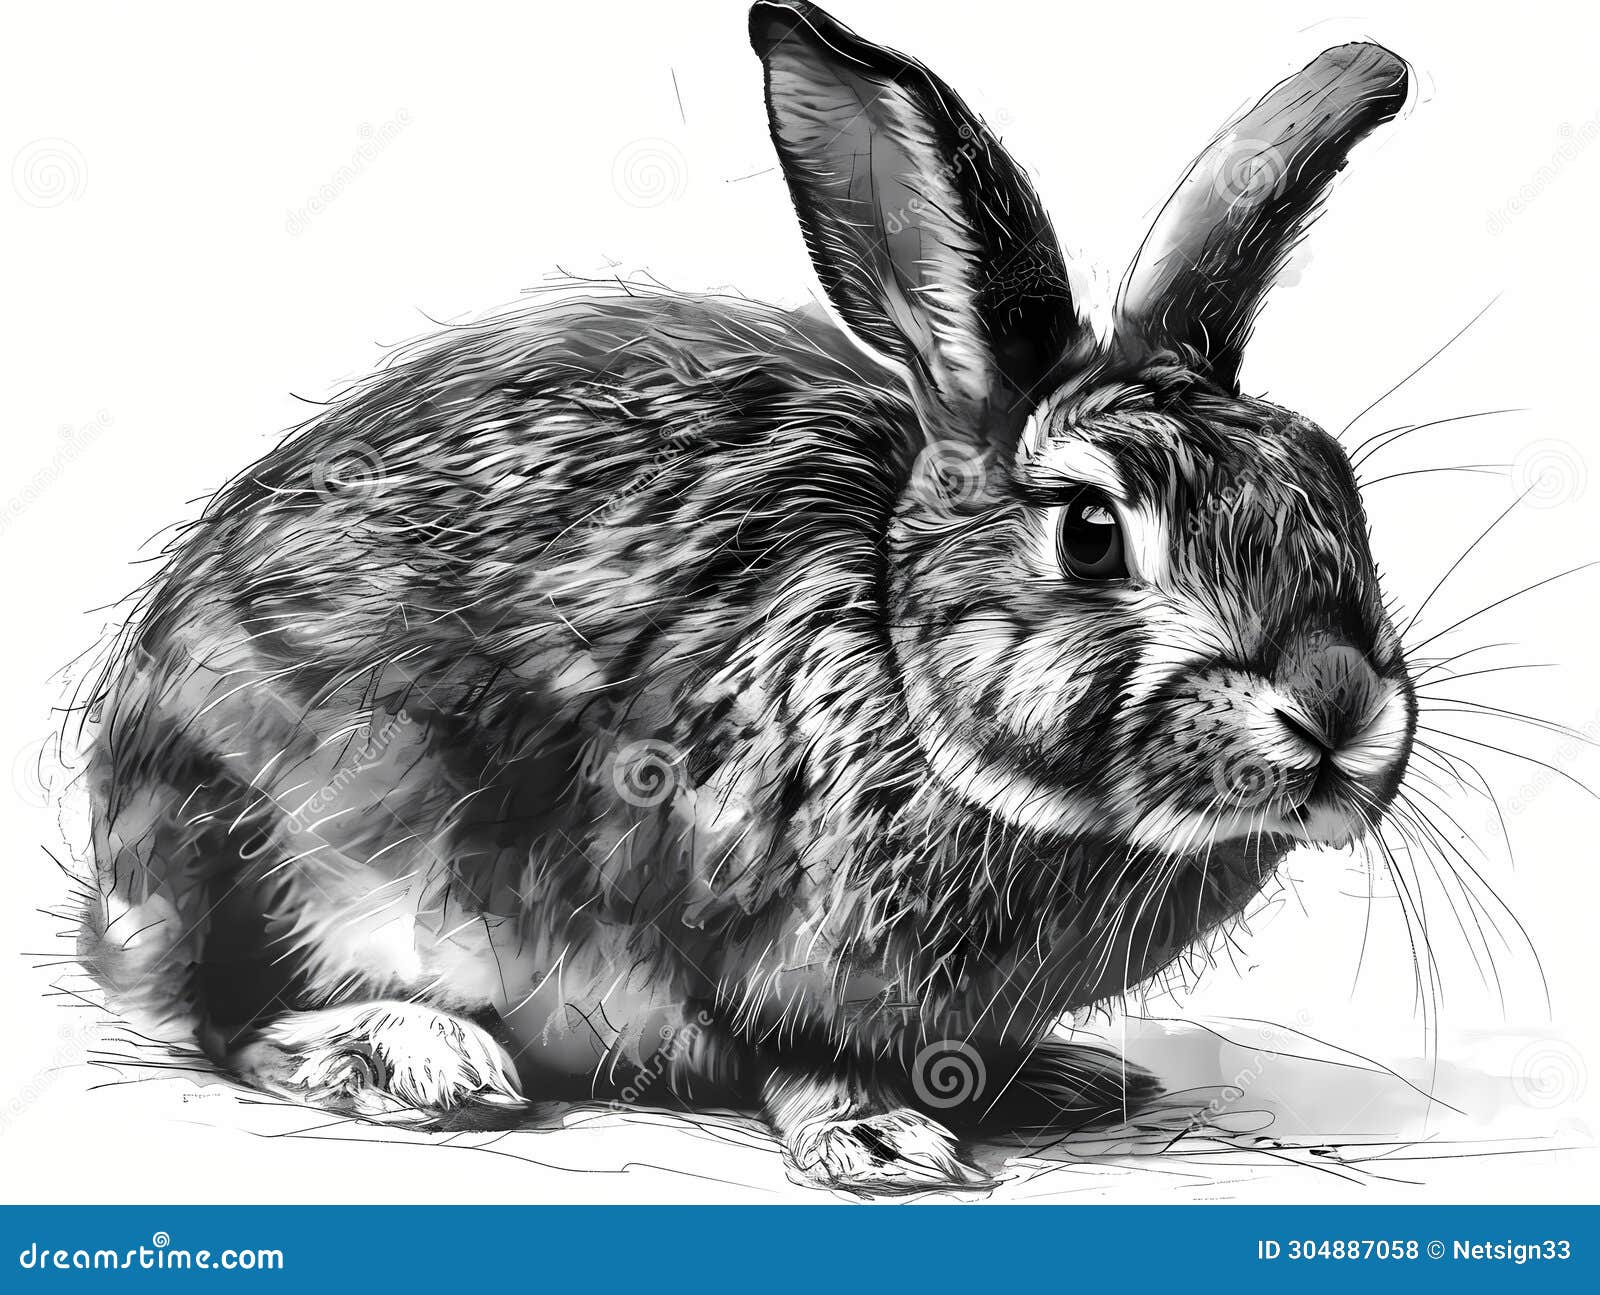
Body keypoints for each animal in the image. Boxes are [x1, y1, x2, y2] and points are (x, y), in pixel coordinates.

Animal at [77, 0, 1416, 1194]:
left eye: (1331, 484)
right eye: (1090, 533)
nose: (1340, 707)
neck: (900, 666)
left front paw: (1048, 1078)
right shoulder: (744, 940)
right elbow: (805, 1058)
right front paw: (878, 1143)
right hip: (291, 856)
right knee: (231, 1021)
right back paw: (415, 1055)